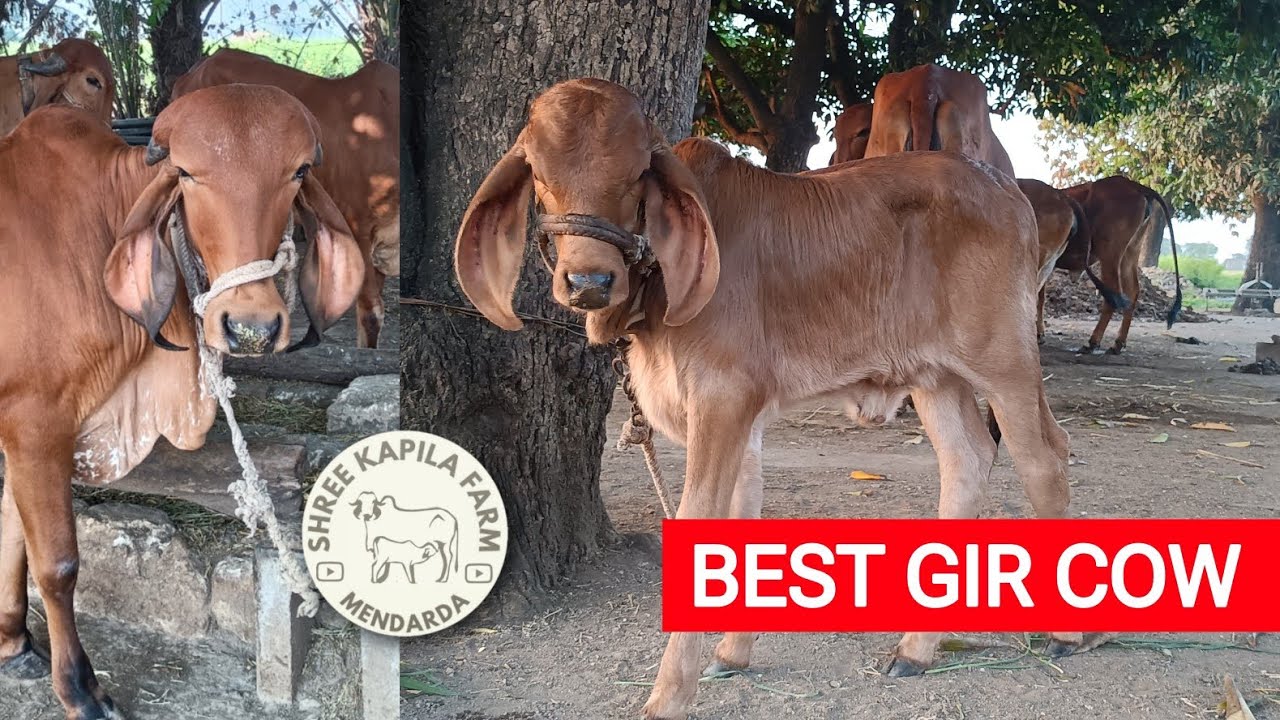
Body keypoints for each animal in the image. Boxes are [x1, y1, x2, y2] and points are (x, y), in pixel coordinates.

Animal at [0, 85, 363, 720]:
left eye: (298, 171)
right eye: (187, 173)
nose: (250, 328)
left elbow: (11, 536)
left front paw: (14, 645)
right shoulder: (34, 423)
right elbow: (56, 564)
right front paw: (81, 691)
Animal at [453, 78, 1080, 720]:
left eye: (637, 173)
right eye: (538, 172)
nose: (589, 282)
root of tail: (1006, 187)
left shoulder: (723, 398)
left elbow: (703, 520)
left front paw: (668, 695)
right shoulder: (741, 414)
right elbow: (741, 514)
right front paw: (731, 654)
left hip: (1004, 361)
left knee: (1043, 459)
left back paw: (1067, 634)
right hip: (934, 376)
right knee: (968, 459)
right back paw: (915, 649)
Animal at [1061, 175, 1182, 354]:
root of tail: (1133, 185)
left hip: (1110, 254)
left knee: (1113, 293)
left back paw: (1093, 342)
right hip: (1130, 253)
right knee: (1132, 291)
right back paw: (1118, 343)